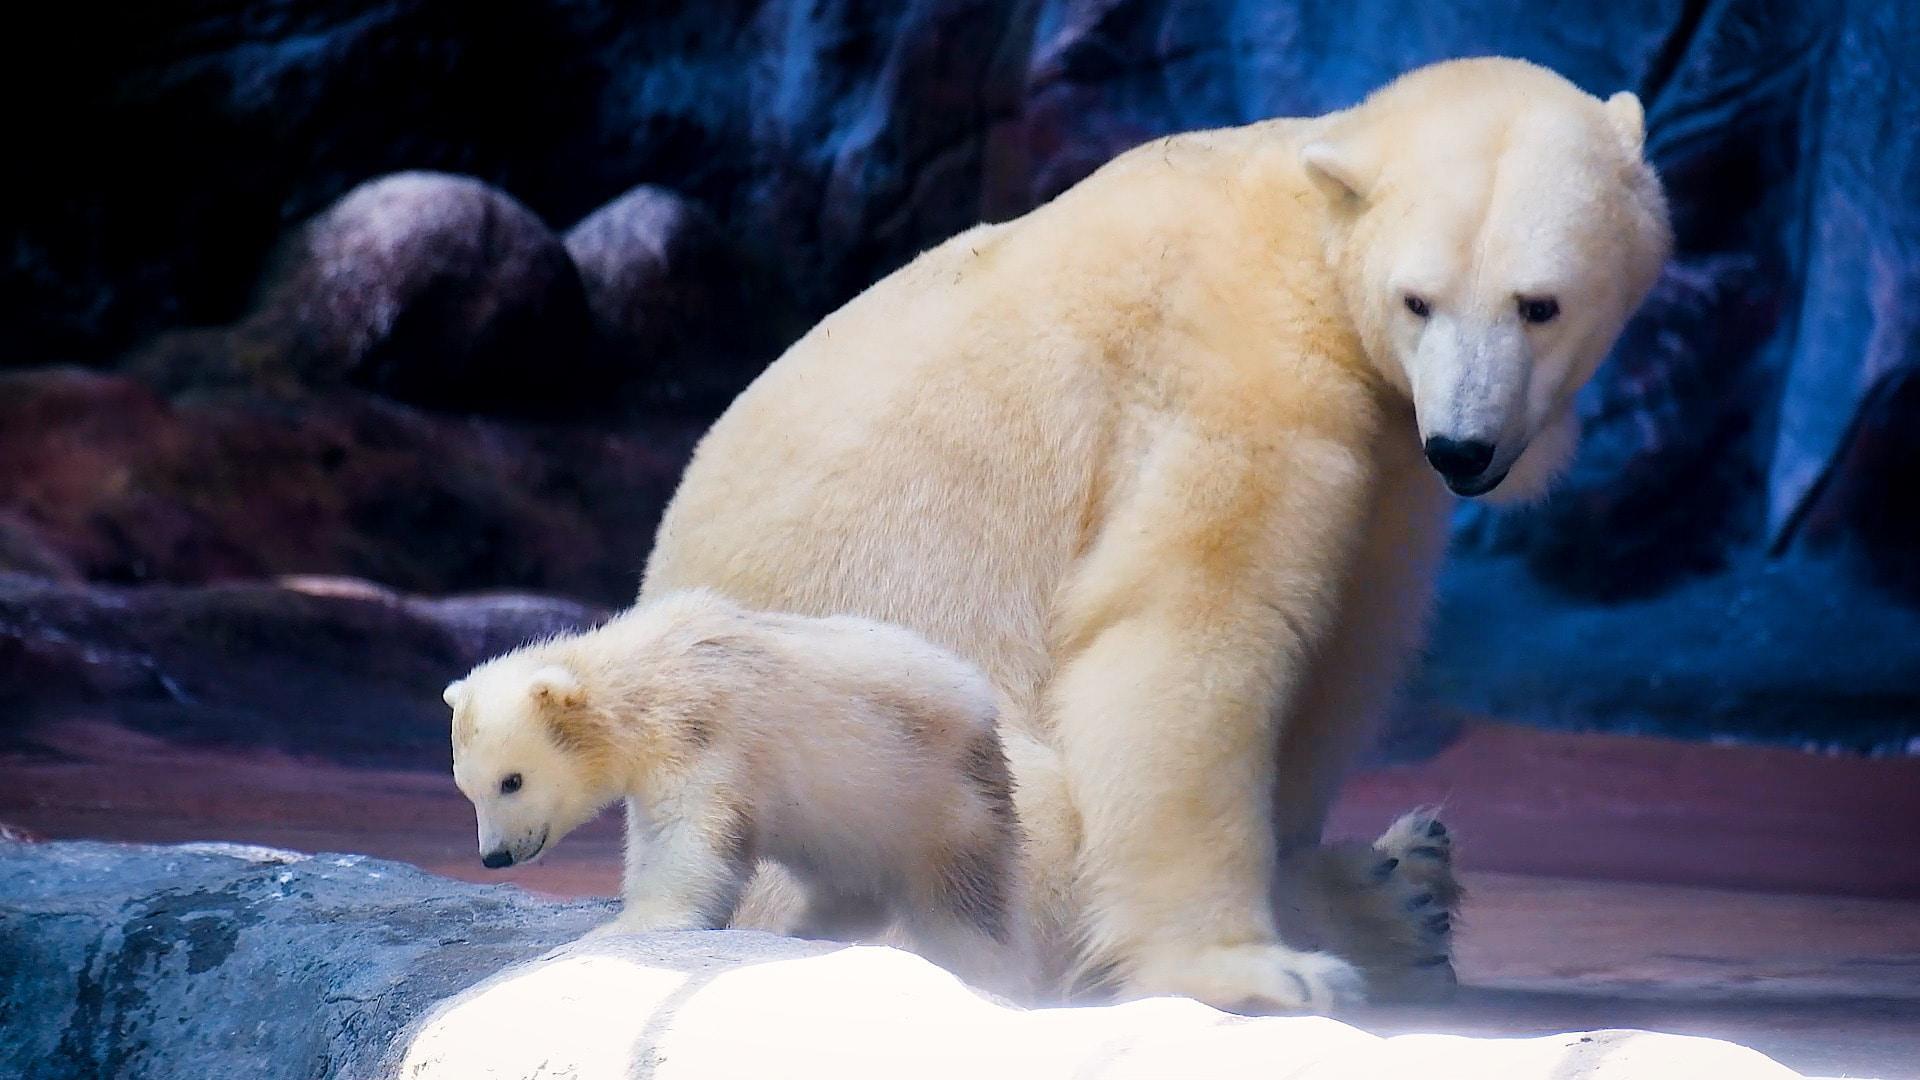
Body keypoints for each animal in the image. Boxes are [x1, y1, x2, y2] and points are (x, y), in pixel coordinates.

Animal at [442, 589, 1032, 996]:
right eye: (467, 789)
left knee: (960, 906)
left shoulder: (699, 730)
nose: (495, 856)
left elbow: (687, 840)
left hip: (938, 803)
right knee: (846, 883)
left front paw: (624, 927)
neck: (645, 674)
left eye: (511, 781)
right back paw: (807, 928)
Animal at [641, 57, 1670, 1011]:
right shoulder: (1240, 366)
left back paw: (1408, 881)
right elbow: (1190, 623)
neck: (1307, 222)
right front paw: (1255, 967)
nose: (1464, 445)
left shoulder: (1390, 453)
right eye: (1419, 301)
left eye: (1539, 305)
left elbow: (1348, 650)